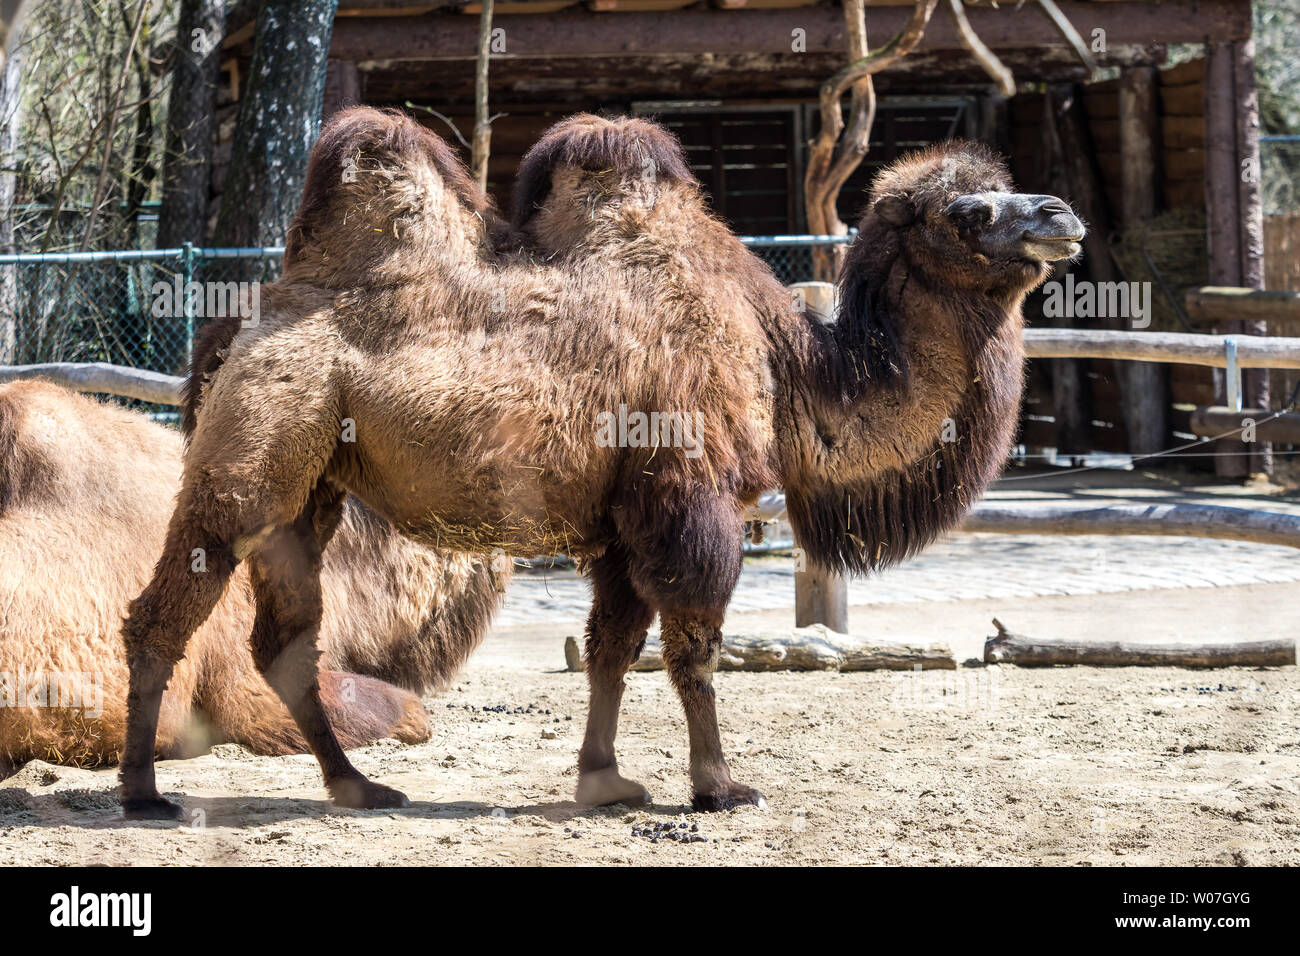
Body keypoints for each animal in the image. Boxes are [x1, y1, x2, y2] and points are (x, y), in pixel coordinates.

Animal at [119, 107, 1082, 819]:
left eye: (1004, 193)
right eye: (970, 213)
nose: (1062, 217)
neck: (787, 361)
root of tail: (237, 324)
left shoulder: (626, 520)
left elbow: (613, 648)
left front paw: (605, 780)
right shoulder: (692, 496)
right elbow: (694, 646)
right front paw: (720, 788)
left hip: (311, 486)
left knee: (284, 638)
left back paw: (358, 786)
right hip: (254, 454)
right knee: (169, 604)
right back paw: (145, 794)